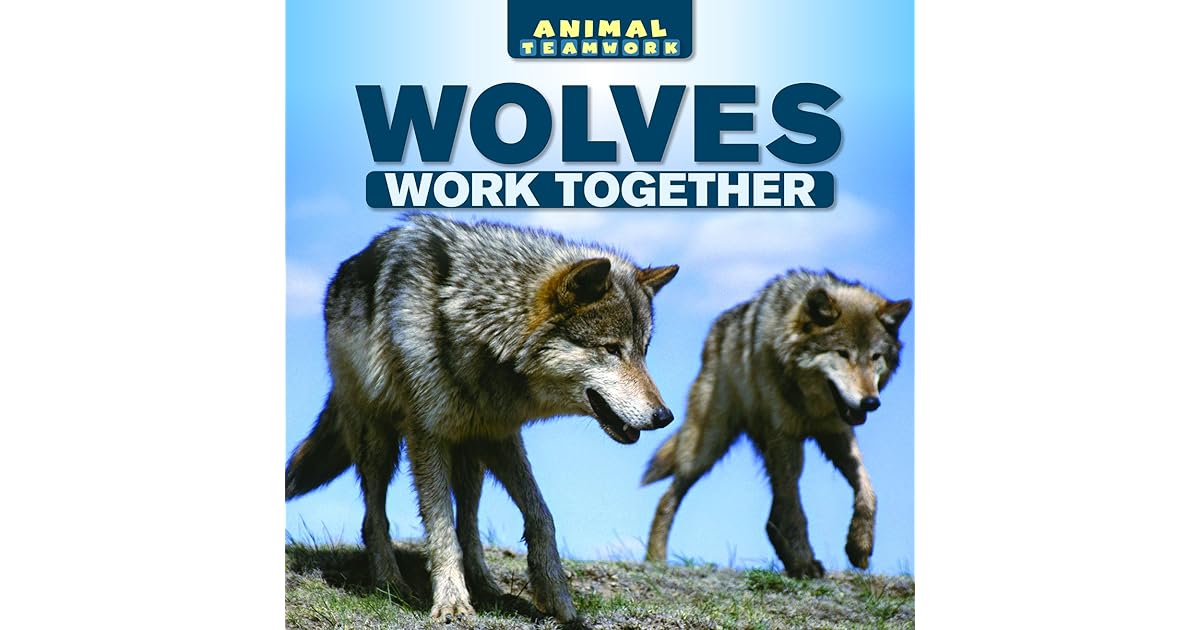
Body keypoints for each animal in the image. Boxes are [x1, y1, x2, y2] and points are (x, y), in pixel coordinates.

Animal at [285, 214, 678, 622]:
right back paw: (390, 582)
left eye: (643, 351)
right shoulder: (427, 436)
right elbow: (441, 528)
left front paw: (555, 596)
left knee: (469, 521)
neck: (471, 315)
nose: (664, 416)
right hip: (378, 442)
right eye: (612, 349)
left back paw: (485, 583)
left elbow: (541, 517)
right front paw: (451, 602)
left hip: (469, 452)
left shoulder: (500, 435)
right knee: (373, 516)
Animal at [642, 270, 910, 577]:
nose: (870, 402)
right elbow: (795, 510)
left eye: (875, 356)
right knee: (668, 498)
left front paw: (859, 546)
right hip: (708, 446)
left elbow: (868, 489)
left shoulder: (837, 434)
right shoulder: (784, 435)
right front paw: (804, 563)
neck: (810, 404)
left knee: (773, 514)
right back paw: (655, 557)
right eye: (843, 353)